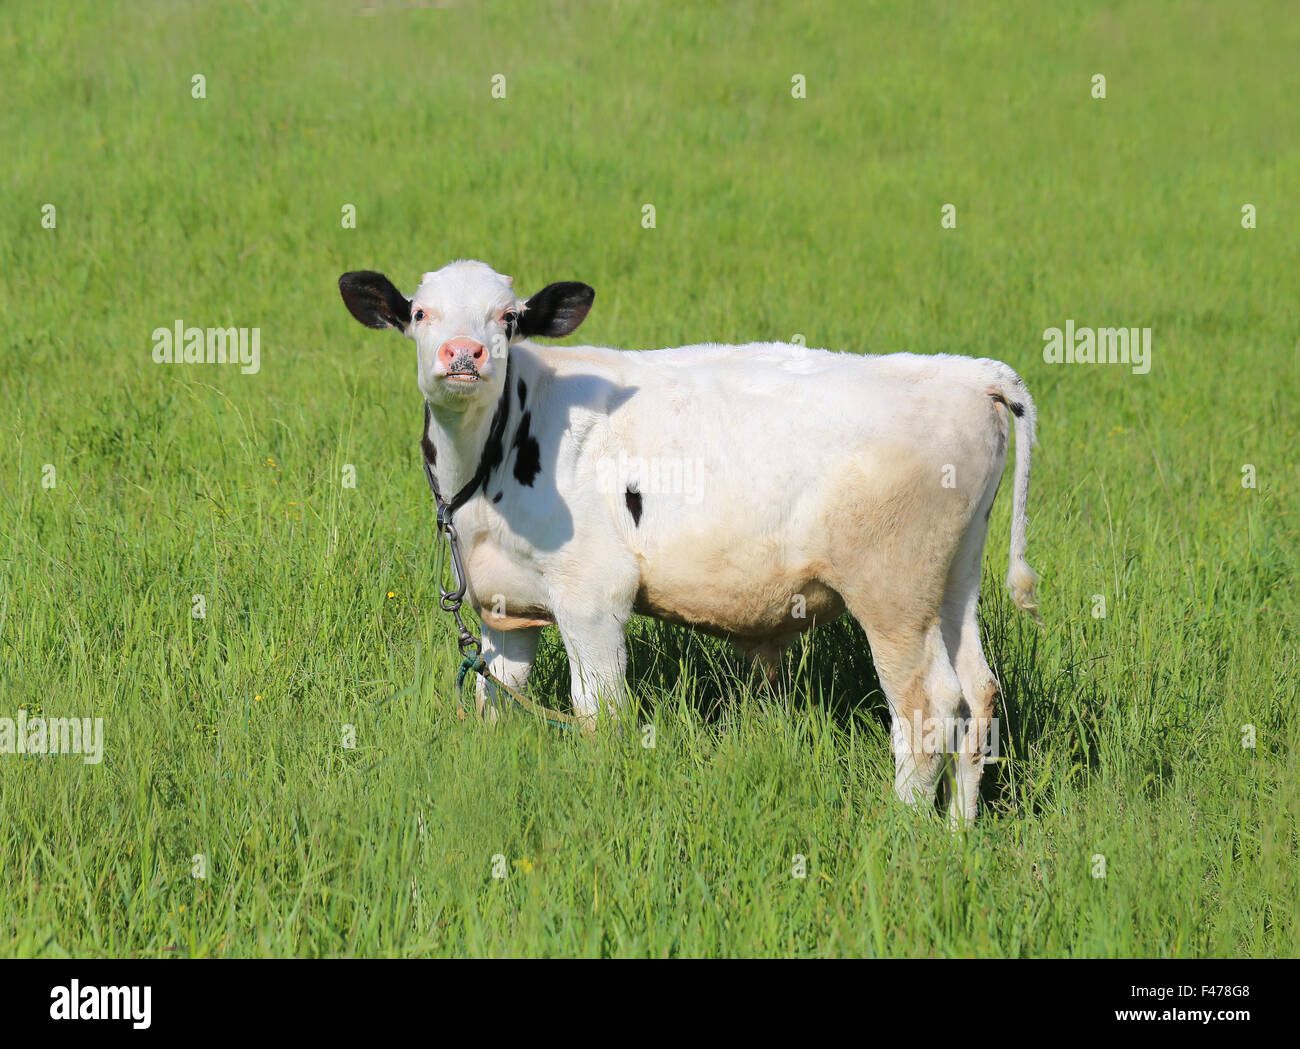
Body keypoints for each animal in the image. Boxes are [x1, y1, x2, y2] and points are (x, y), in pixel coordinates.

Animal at [338, 259, 1041, 823]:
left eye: (508, 318)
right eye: (421, 313)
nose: (463, 355)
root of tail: (966, 374)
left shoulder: (592, 593)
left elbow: (599, 711)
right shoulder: (504, 605)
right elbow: (497, 700)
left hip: (892, 591)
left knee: (928, 706)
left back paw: (905, 830)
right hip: (952, 579)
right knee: (978, 692)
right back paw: (957, 831)